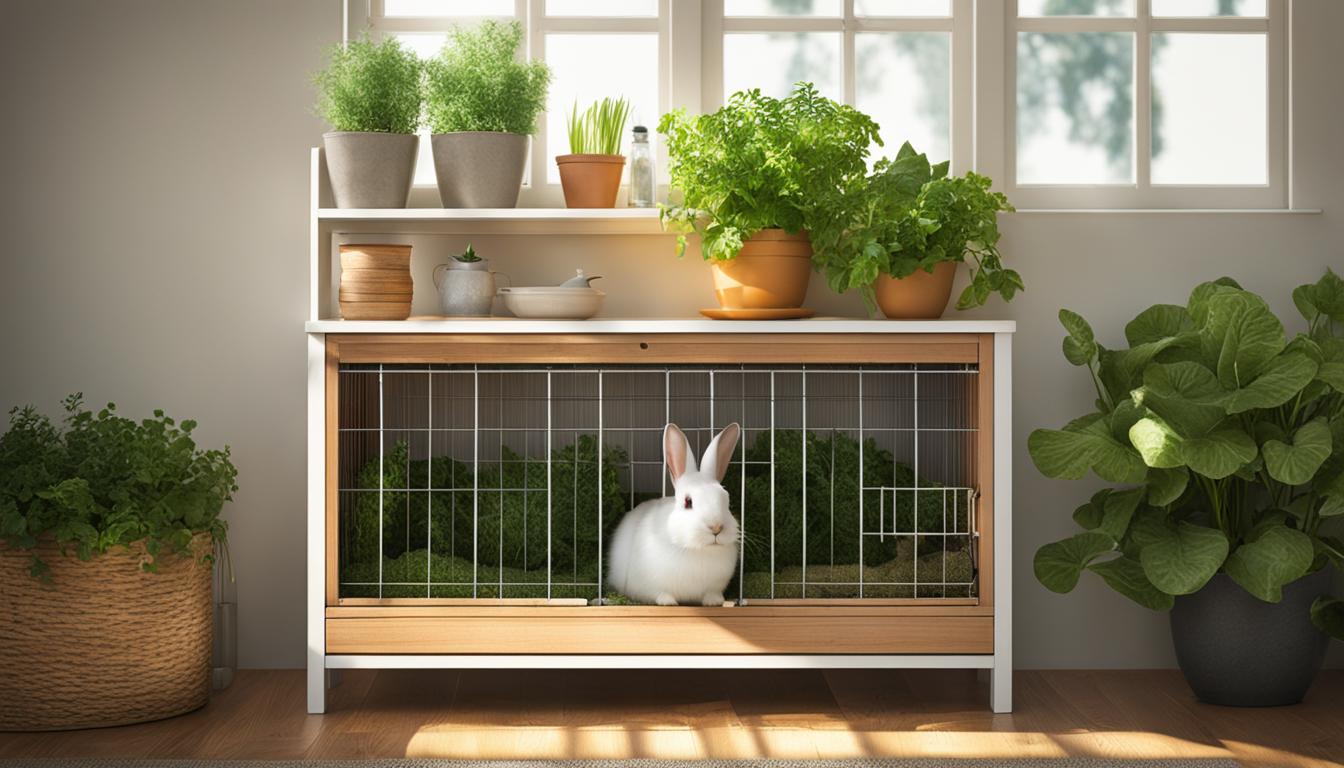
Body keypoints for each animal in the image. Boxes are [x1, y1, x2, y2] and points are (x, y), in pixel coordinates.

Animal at [607, 422, 742, 607]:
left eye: (726, 498)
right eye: (688, 502)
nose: (716, 527)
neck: (695, 549)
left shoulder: (713, 587)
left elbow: (711, 595)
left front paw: (714, 602)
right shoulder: (653, 586)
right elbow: (661, 594)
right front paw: (668, 602)